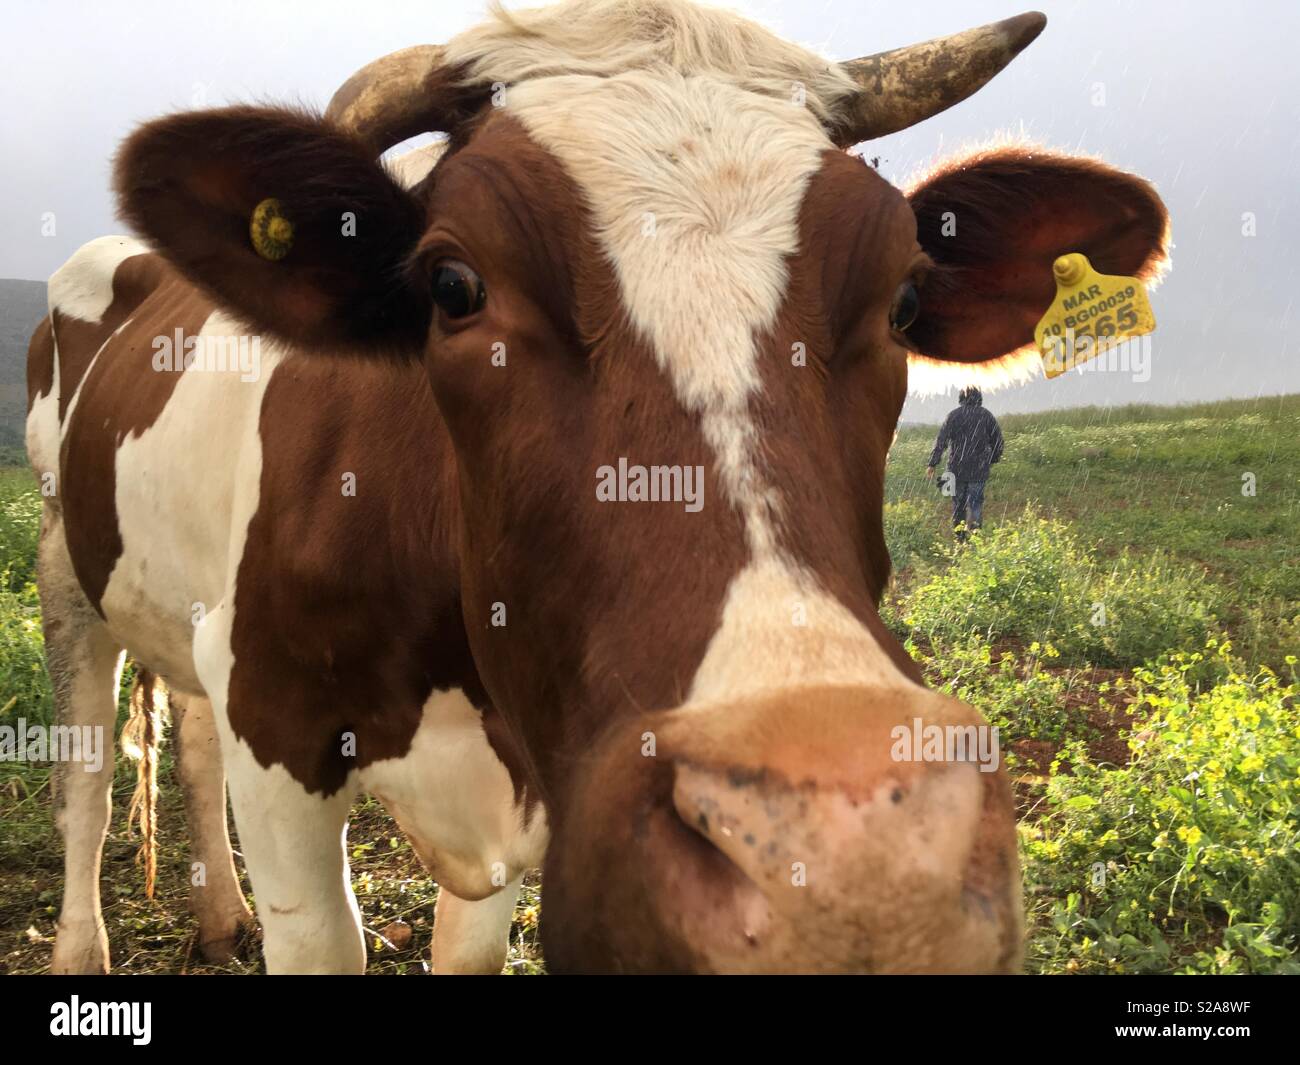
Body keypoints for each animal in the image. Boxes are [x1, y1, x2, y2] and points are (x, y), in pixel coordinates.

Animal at [27, 0, 1168, 974]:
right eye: (452, 287)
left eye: (903, 301)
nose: (852, 875)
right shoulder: (279, 731)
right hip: (60, 558)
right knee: (86, 772)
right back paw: (81, 948)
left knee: (188, 739)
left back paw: (219, 913)